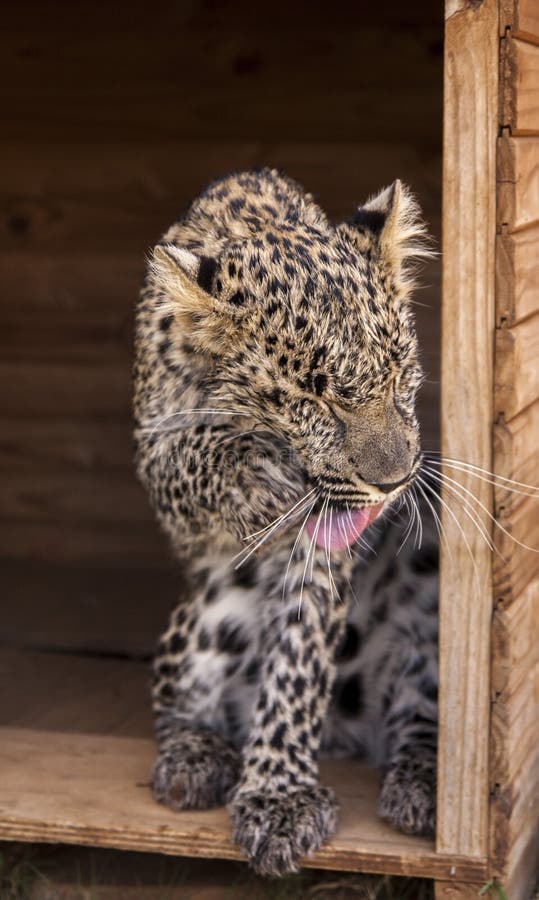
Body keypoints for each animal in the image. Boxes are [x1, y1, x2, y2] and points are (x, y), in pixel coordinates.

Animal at [133, 168, 438, 877]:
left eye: (400, 373)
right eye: (313, 398)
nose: (392, 484)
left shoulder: (327, 550)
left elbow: (297, 662)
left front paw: (279, 796)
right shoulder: (153, 451)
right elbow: (194, 454)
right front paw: (258, 473)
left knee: (421, 711)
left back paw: (423, 785)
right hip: (206, 610)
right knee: (174, 692)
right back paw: (193, 758)